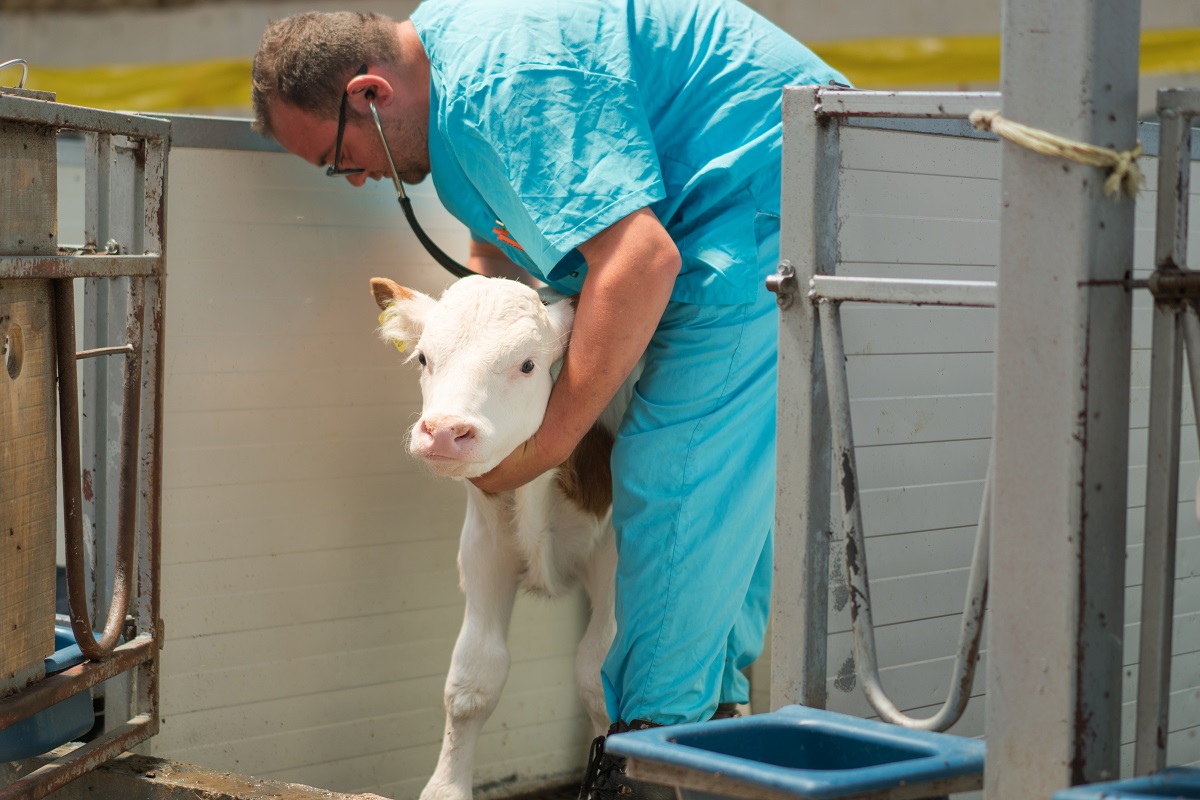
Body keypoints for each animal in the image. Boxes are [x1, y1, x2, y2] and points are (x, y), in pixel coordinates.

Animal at [369, 273, 624, 800]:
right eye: (423, 358)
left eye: (527, 364)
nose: (445, 431)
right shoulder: (484, 550)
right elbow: (473, 679)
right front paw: (446, 788)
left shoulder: (616, 559)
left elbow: (598, 678)